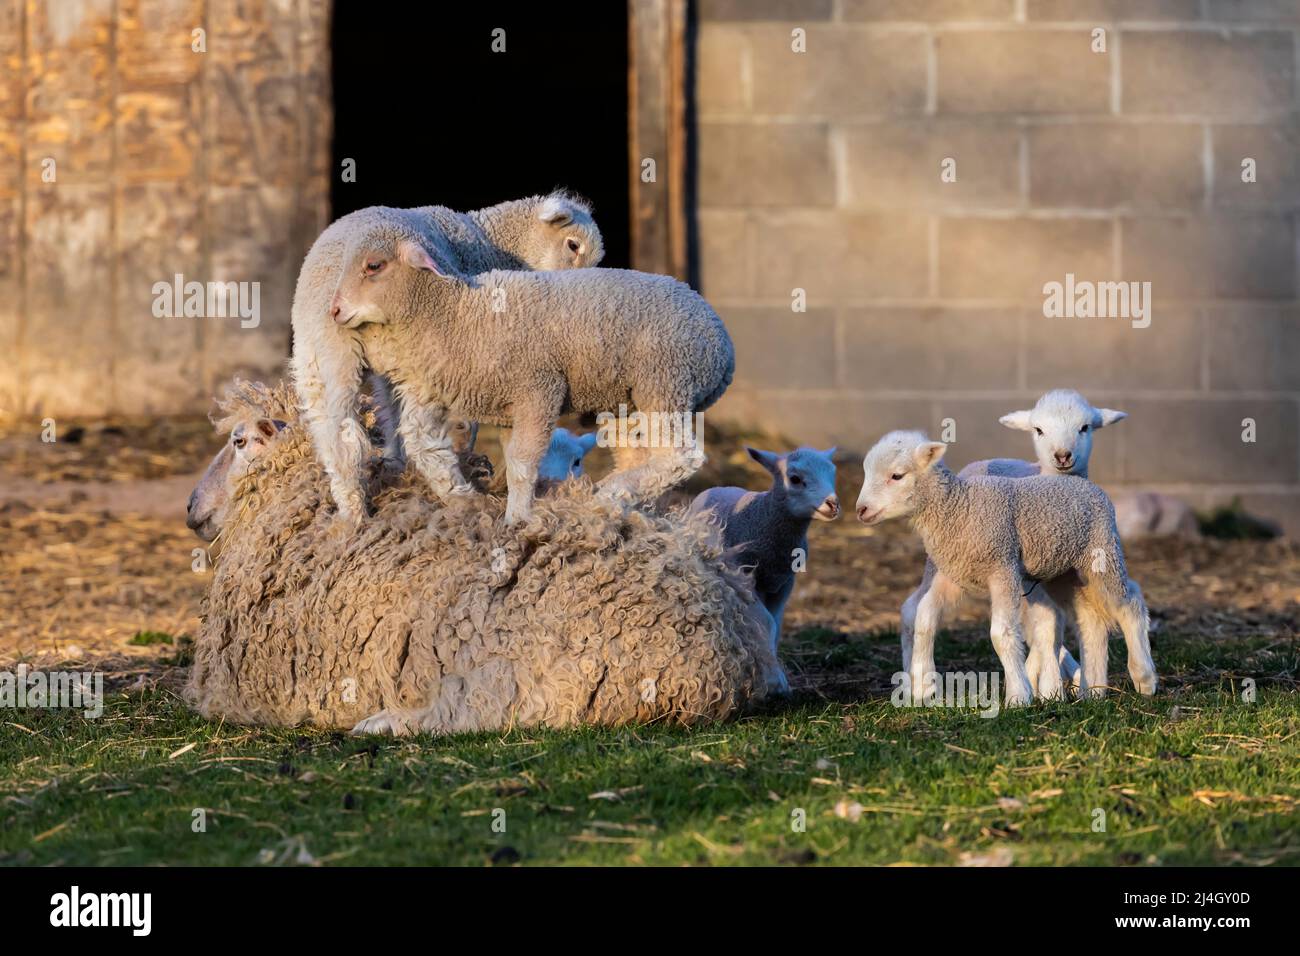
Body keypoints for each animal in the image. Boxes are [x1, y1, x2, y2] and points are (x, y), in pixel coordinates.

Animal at [183, 381, 783, 734]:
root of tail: (727, 655)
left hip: (527, 663)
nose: (191, 508)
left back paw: (383, 722)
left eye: (239, 441)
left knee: (481, 710)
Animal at [300, 208, 733, 527]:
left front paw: (515, 519)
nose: (336, 310)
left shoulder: (537, 390)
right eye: (573, 244)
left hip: (664, 383)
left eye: (374, 266)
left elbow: (522, 463)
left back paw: (612, 493)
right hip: (636, 400)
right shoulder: (462, 392)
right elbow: (475, 453)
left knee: (681, 456)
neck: (451, 309)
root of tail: (722, 341)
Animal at [688, 447, 839, 656]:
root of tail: (719, 487)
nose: (833, 504)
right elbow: (767, 623)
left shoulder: (785, 584)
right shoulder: (748, 579)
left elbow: (776, 625)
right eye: (794, 479)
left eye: (833, 473)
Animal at [856, 430, 1157, 706]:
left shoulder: (1002, 568)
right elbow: (923, 618)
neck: (959, 507)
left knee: (1129, 601)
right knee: (1089, 618)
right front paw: (922, 688)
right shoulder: (953, 573)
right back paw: (1092, 692)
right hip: (1062, 571)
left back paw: (1144, 678)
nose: (861, 510)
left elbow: (1001, 634)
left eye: (897, 476)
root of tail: (1084, 482)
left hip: (1102, 552)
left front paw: (1018, 696)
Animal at [900, 390, 1129, 698]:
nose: (1062, 455)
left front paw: (1045, 683)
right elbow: (1047, 627)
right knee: (912, 608)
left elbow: (1048, 627)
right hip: (942, 564)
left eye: (1085, 427)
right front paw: (1045, 687)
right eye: (1038, 429)